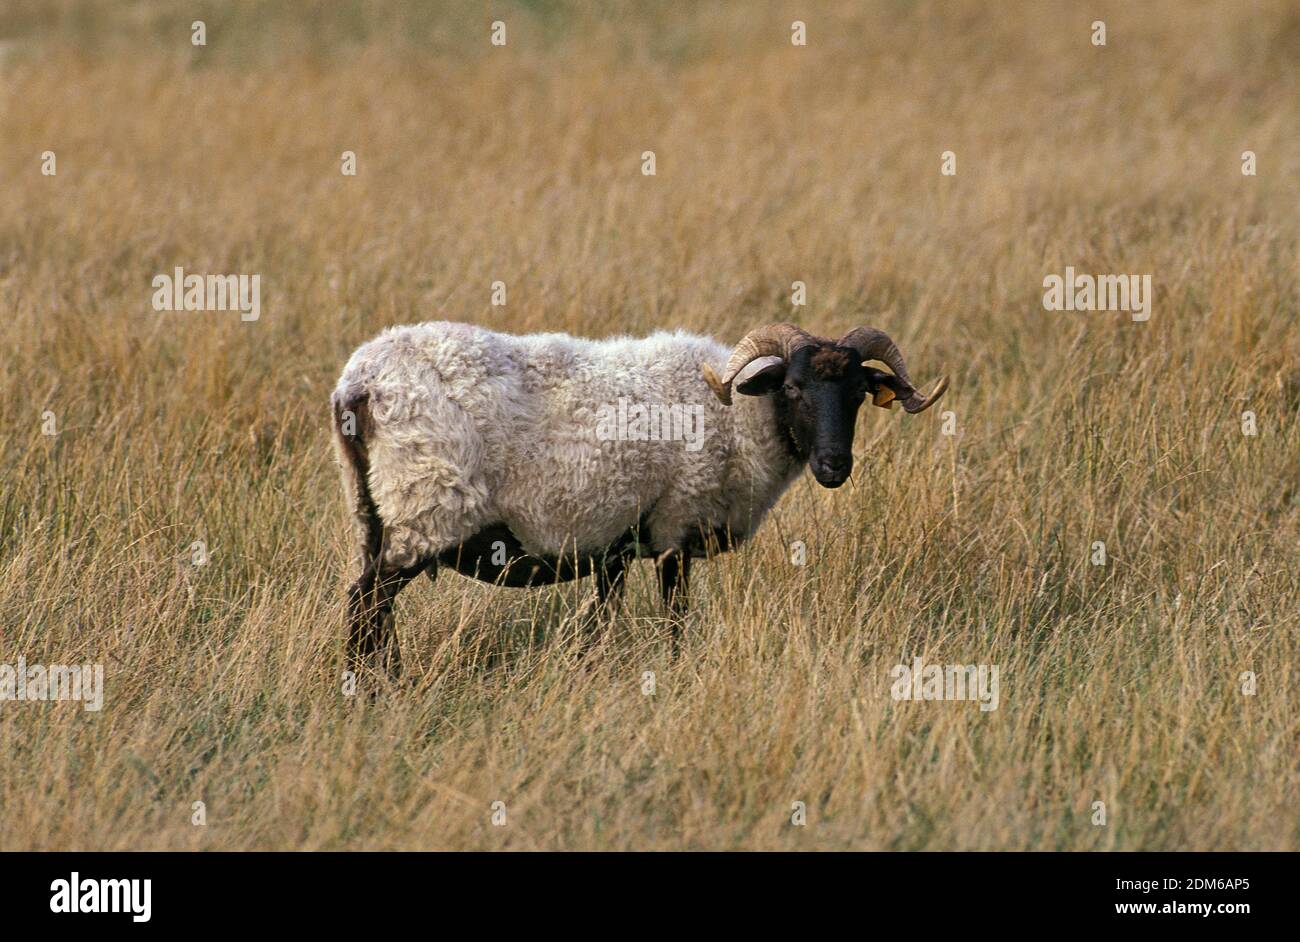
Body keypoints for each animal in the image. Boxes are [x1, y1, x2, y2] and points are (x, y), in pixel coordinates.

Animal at [332, 320, 947, 677]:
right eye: (793, 388)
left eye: (859, 394)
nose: (834, 466)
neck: (738, 417)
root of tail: (359, 382)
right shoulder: (675, 522)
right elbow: (675, 617)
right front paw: (674, 675)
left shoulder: (616, 545)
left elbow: (601, 621)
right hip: (425, 504)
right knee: (367, 601)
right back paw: (374, 690)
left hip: (373, 509)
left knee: (374, 605)